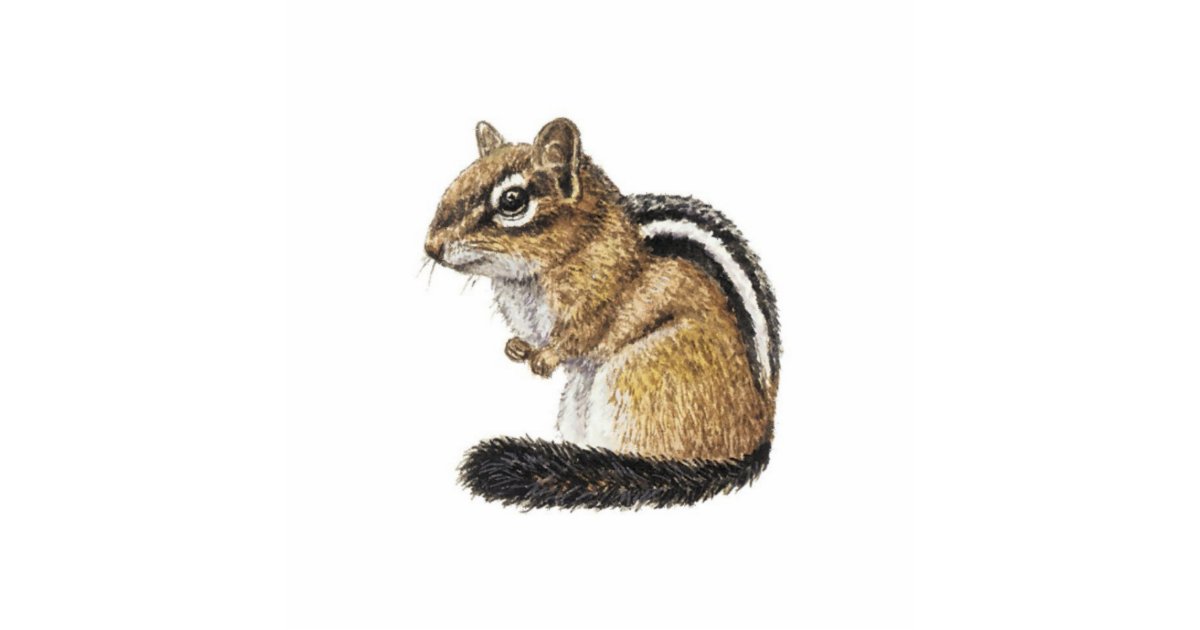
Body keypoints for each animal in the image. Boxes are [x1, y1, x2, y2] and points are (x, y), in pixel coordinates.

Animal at [424, 118, 780, 509]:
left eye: (512, 200)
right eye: (460, 179)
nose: (431, 247)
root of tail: (756, 439)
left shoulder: (597, 302)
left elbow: (580, 336)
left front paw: (545, 358)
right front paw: (518, 348)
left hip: (634, 378)